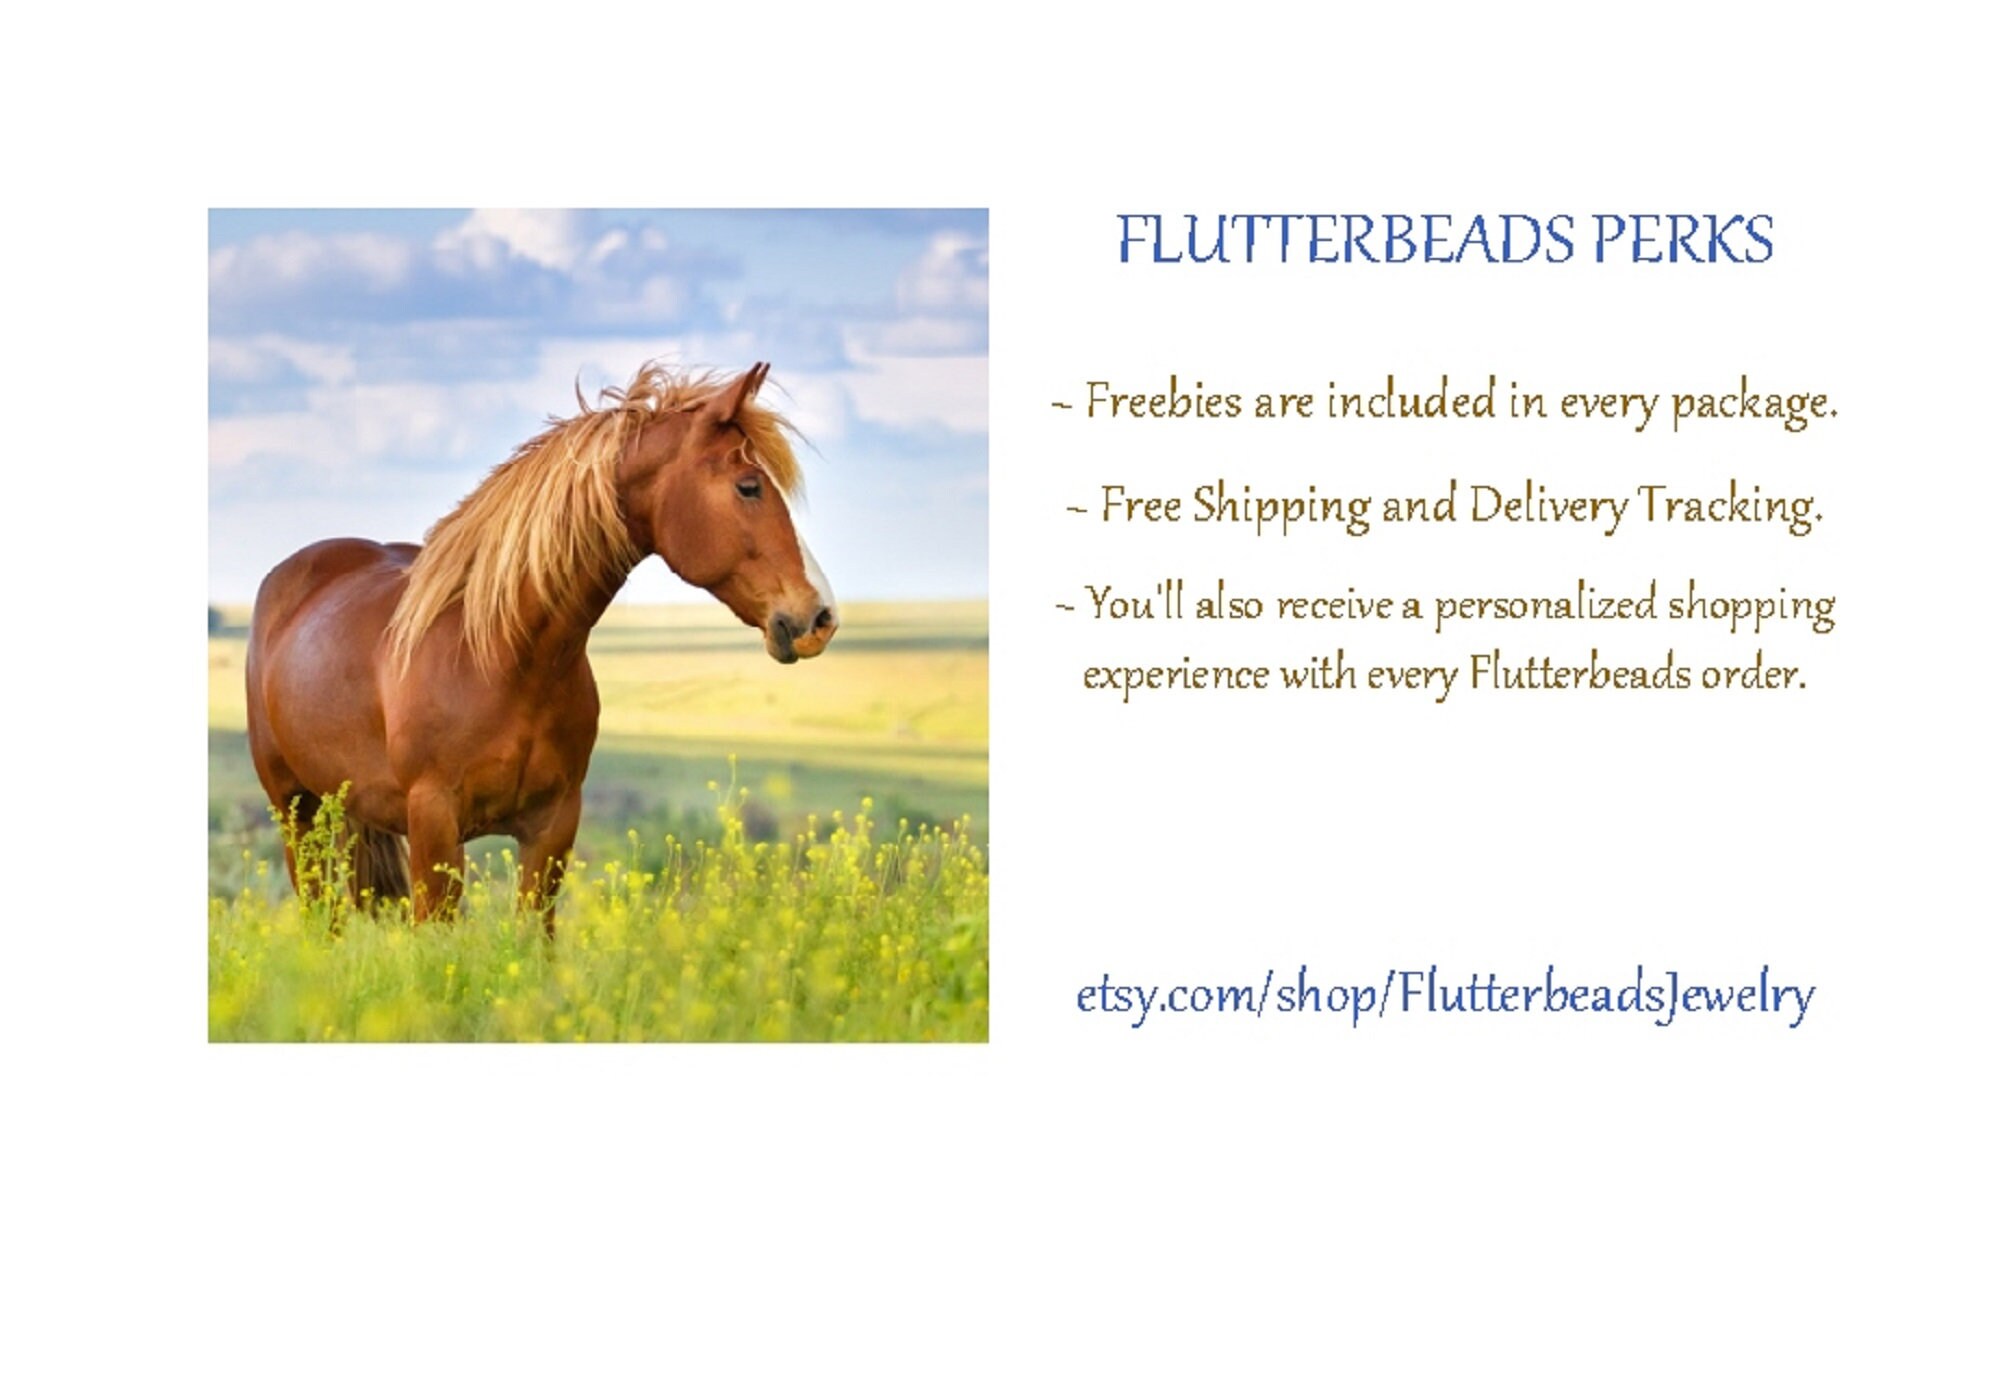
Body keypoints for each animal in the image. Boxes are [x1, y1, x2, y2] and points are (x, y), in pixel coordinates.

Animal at [244, 362, 837, 926]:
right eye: (748, 486)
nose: (820, 617)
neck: (501, 659)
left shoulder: (552, 828)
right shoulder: (434, 826)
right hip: (297, 813)